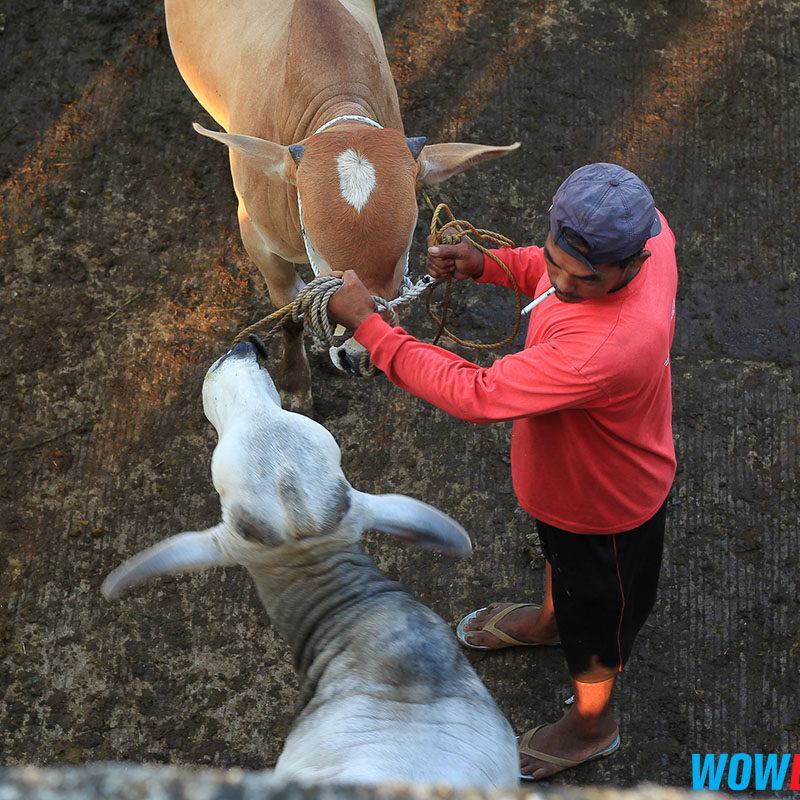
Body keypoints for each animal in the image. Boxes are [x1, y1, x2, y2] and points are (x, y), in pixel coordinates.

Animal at [163, 0, 519, 412]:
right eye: (312, 239)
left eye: (405, 248)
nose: (359, 357)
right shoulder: (255, 234)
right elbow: (291, 315)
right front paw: (295, 386)